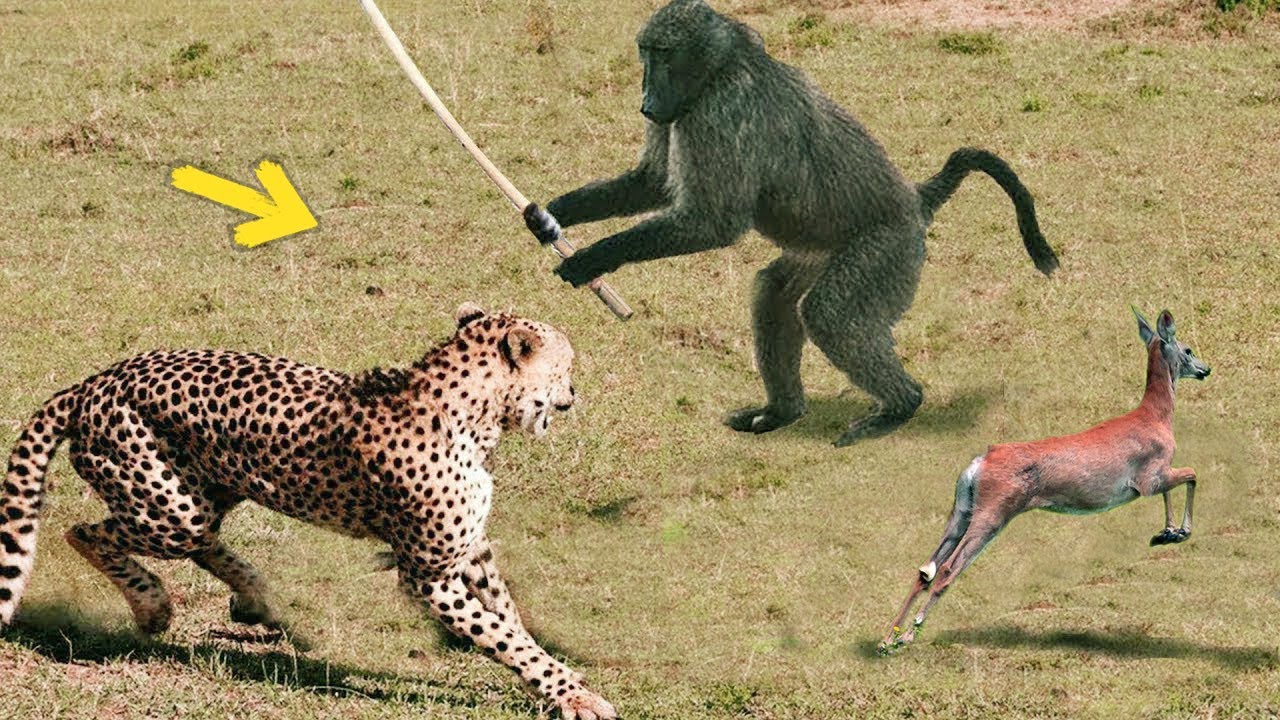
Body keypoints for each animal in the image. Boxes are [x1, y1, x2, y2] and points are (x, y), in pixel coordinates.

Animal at [0, 302, 616, 720]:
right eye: (564, 366)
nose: (574, 393)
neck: (471, 412)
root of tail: (97, 379)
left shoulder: (469, 550)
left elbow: (507, 617)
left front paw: (549, 680)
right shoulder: (428, 575)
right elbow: (502, 634)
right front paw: (572, 693)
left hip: (204, 491)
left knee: (201, 539)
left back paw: (254, 598)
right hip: (167, 508)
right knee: (84, 531)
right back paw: (153, 607)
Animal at [525, 0, 1058, 447]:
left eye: (665, 54)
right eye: (646, 54)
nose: (646, 101)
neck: (725, 65)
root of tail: (914, 199)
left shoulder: (721, 113)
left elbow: (714, 222)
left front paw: (592, 259)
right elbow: (653, 182)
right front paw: (548, 216)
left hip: (886, 248)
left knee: (829, 314)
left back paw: (899, 408)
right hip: (819, 250)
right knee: (774, 295)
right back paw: (783, 411)